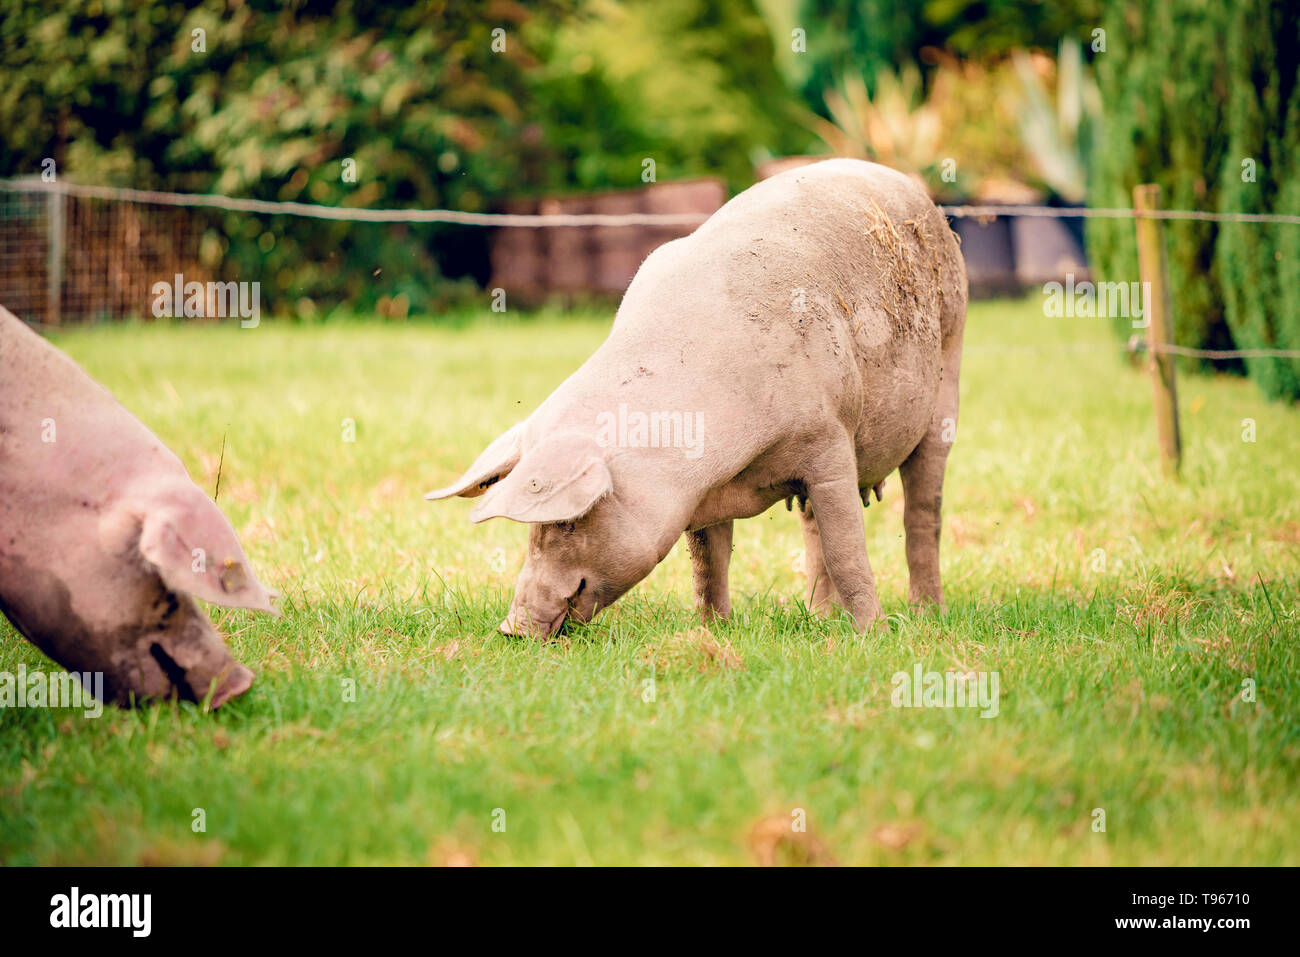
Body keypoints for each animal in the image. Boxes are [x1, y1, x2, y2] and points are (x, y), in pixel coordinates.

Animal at [427, 159, 966, 637]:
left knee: (923, 508)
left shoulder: (829, 437)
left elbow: (847, 548)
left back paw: (925, 614)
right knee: (813, 526)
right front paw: (711, 631)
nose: (510, 628)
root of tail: (913, 189)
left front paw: (872, 635)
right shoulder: (700, 496)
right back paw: (819, 619)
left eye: (569, 525)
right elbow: (709, 562)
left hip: (949, 365)